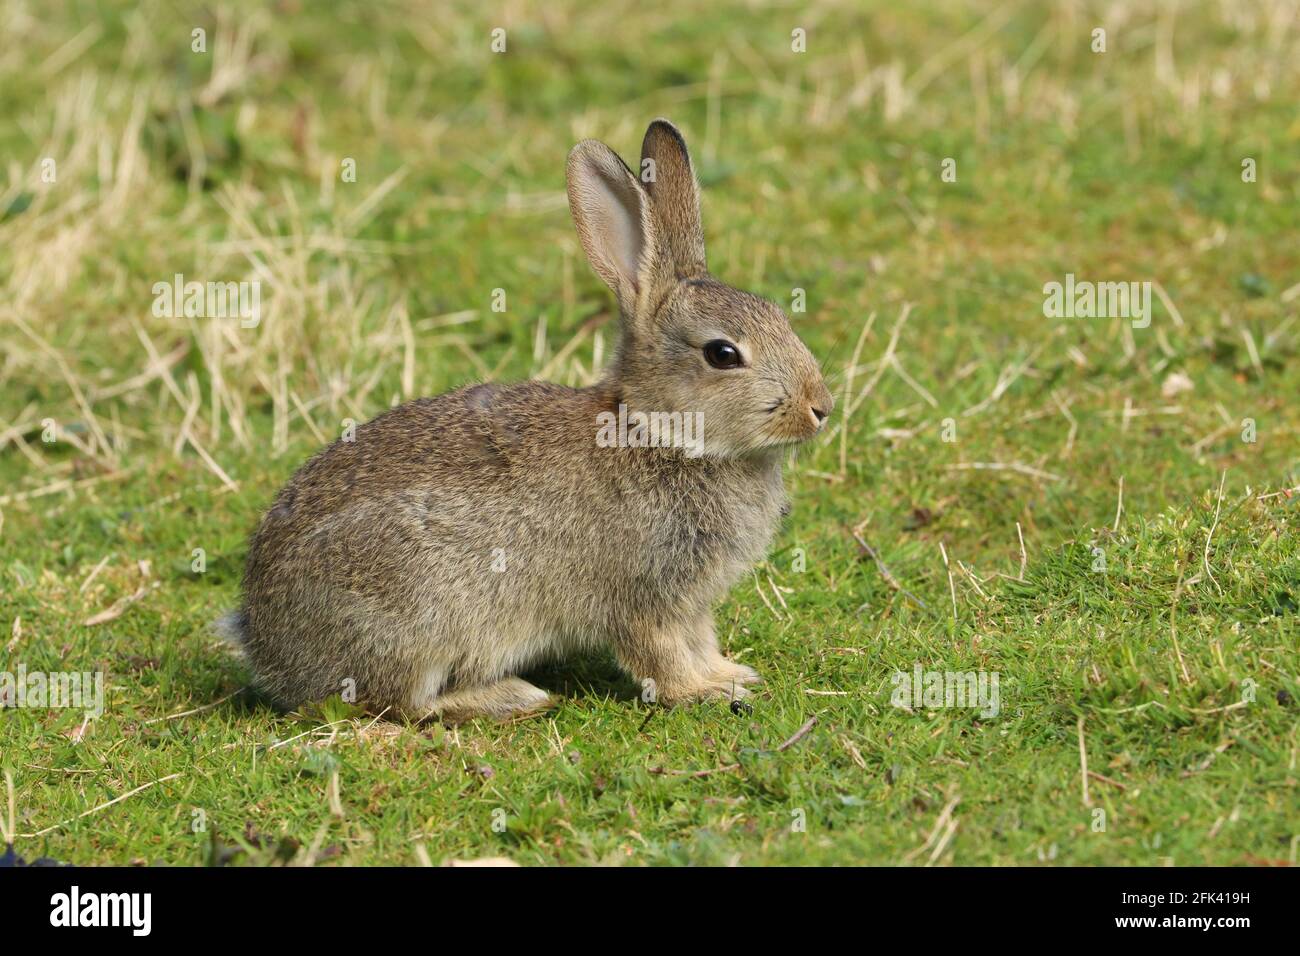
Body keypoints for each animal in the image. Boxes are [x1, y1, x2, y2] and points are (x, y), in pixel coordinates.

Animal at [218, 119, 833, 723]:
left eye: (778, 315)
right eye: (722, 354)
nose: (820, 408)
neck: (658, 433)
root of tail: (266, 643)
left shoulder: (691, 603)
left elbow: (700, 639)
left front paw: (729, 673)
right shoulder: (645, 596)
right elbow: (660, 653)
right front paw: (705, 691)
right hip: (421, 616)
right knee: (399, 700)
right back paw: (512, 696)